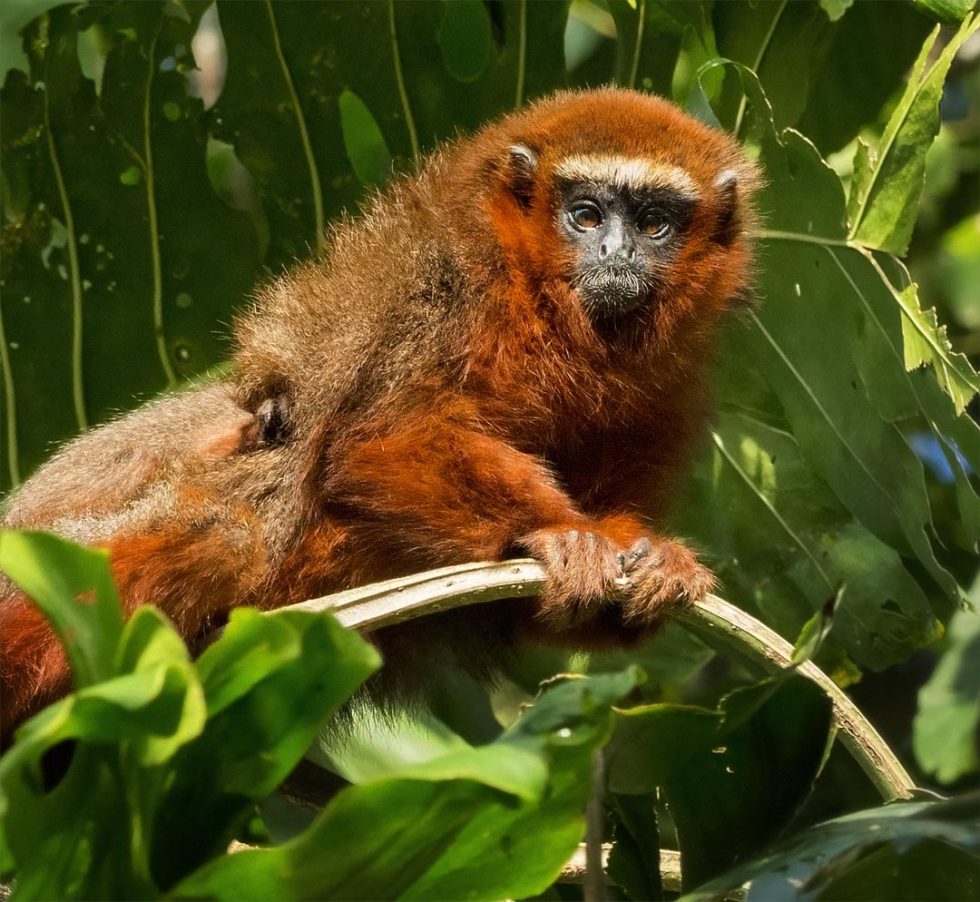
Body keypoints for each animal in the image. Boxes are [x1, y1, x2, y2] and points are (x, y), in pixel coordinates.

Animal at [1, 88, 757, 742]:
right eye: (588, 215)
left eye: (654, 224)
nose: (616, 253)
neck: (547, 316)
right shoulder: (442, 292)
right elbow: (378, 443)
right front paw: (558, 533)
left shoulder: (674, 388)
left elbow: (536, 614)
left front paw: (651, 559)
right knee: (222, 529)